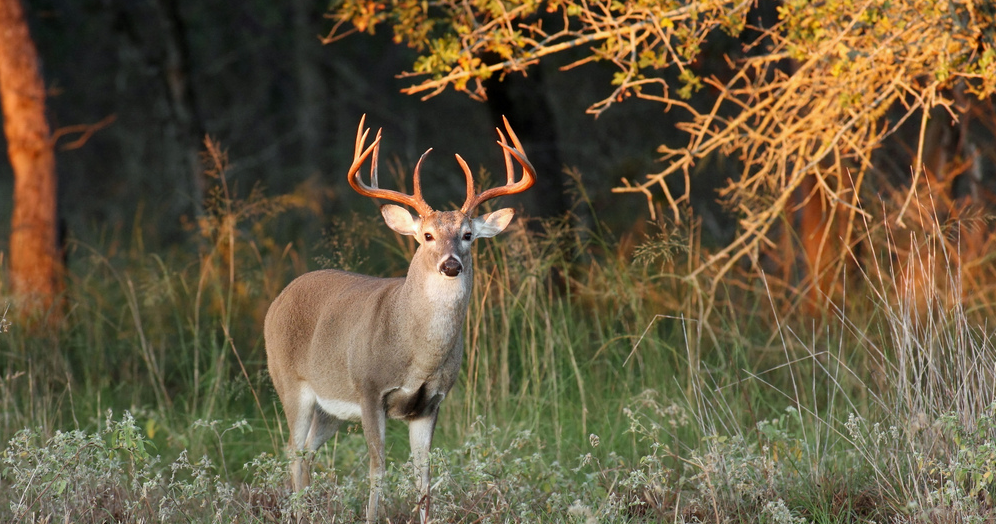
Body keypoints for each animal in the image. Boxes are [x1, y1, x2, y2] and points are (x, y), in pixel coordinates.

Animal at [264, 115, 535, 523]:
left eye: (468, 235)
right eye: (427, 235)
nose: (451, 265)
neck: (415, 352)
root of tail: (277, 300)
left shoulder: (430, 403)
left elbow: (424, 477)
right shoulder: (369, 388)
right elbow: (377, 469)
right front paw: (372, 516)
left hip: (329, 409)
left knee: (306, 452)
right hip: (290, 383)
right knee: (293, 452)